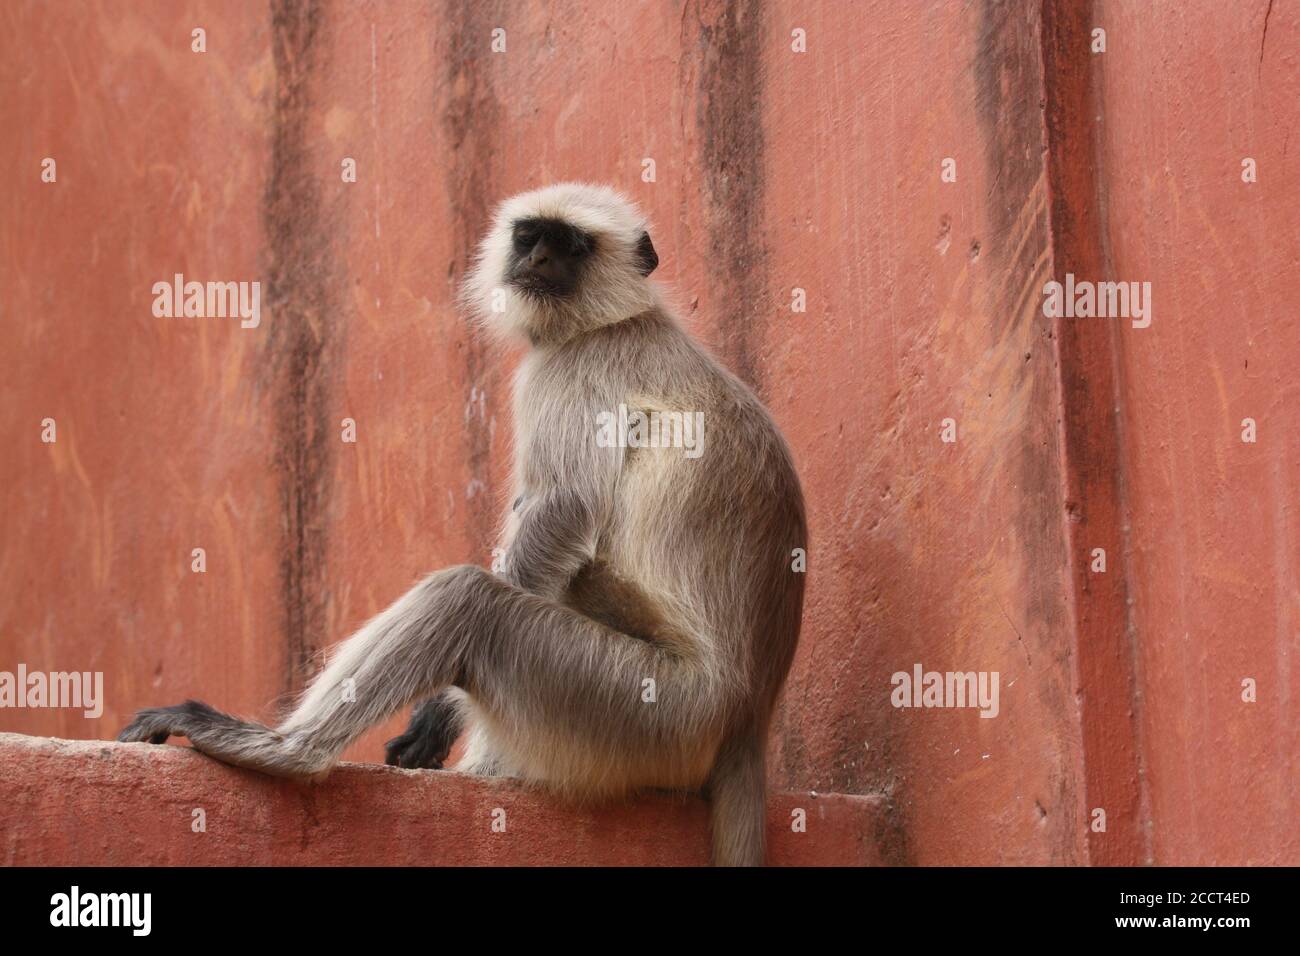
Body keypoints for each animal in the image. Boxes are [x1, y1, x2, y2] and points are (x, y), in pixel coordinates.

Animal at [118, 183, 807, 866]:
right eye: (531, 236)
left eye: (573, 245)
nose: (540, 262)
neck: (612, 321)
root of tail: (747, 715)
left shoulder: (572, 372)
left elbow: (561, 513)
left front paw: (436, 717)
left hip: (649, 709)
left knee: (469, 598)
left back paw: (283, 752)